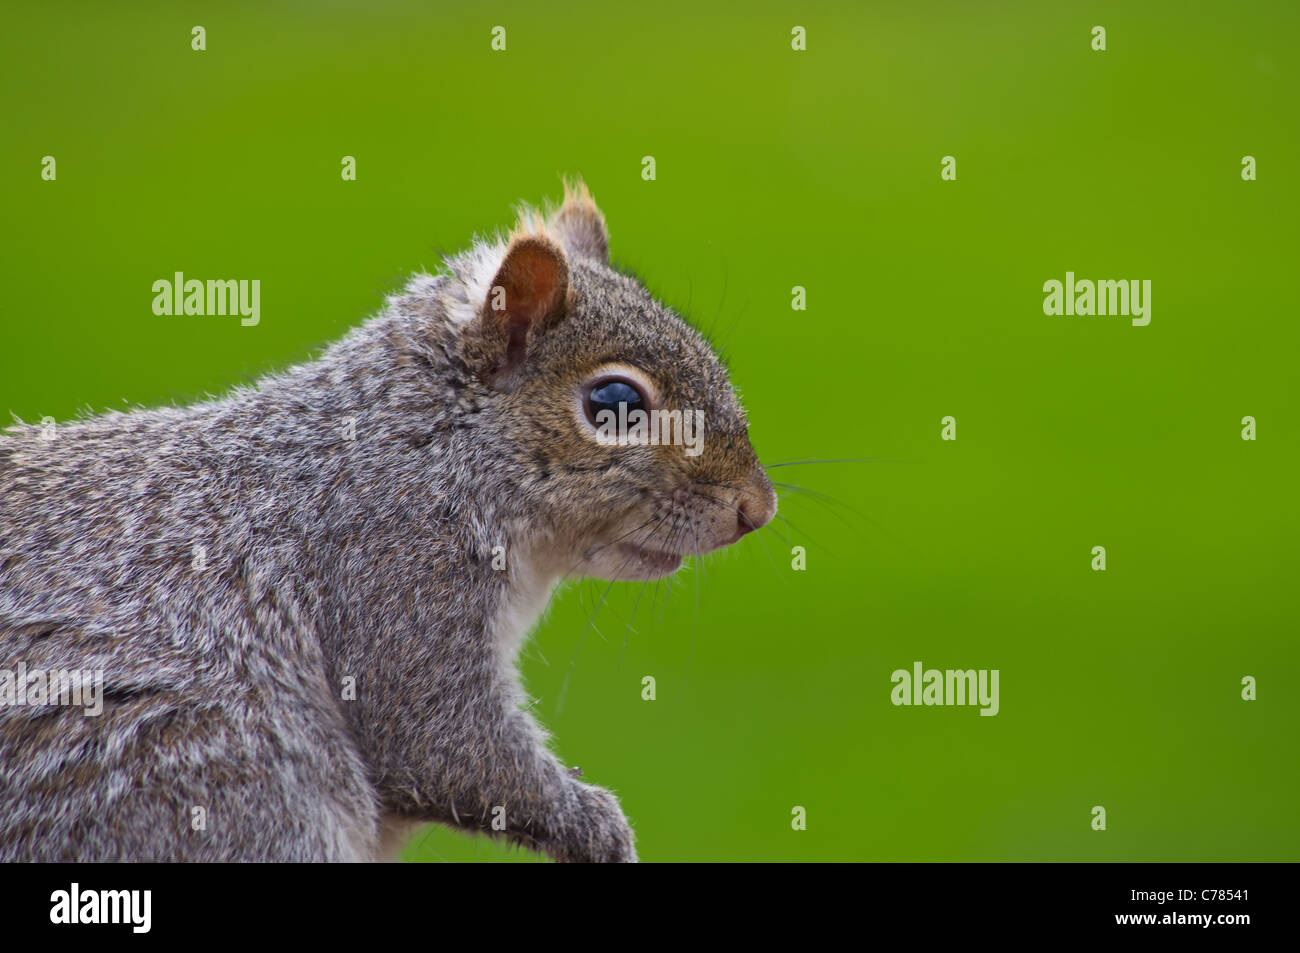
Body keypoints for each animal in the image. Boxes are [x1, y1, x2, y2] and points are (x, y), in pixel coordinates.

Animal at [0, 181, 777, 863]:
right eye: (615, 403)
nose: (757, 508)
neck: (430, 447)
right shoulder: (392, 566)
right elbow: (439, 741)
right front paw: (595, 825)